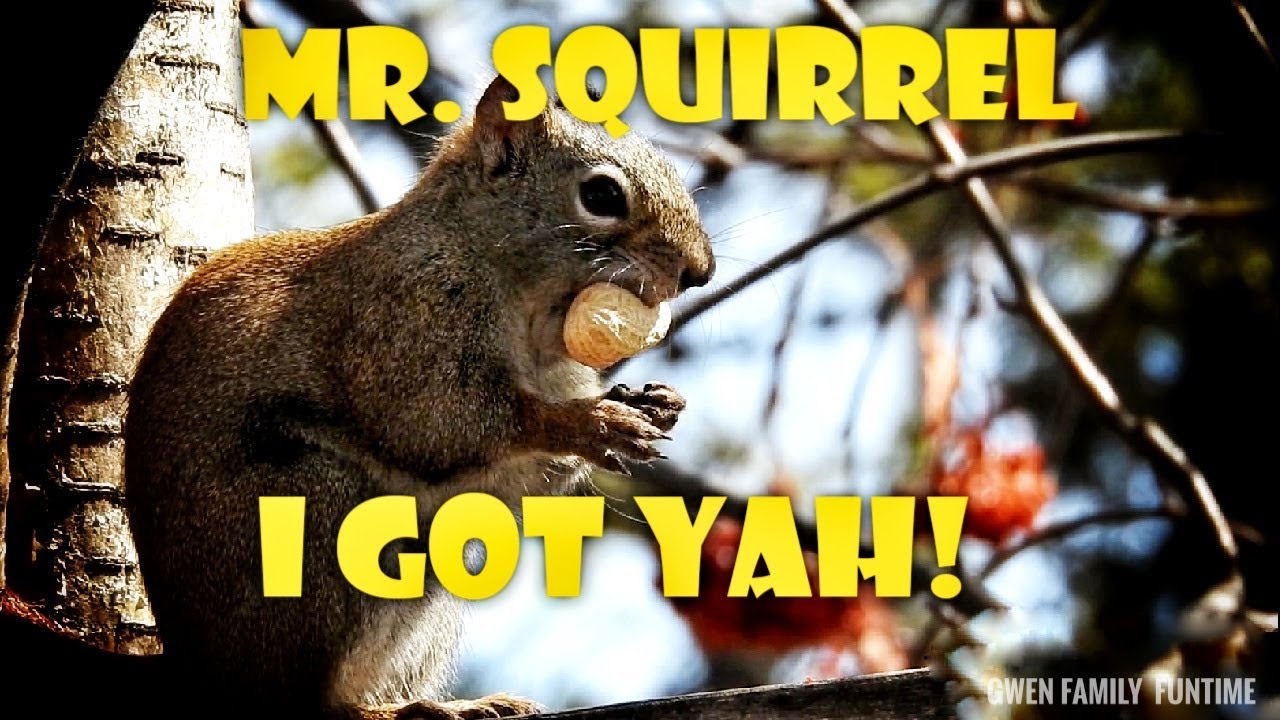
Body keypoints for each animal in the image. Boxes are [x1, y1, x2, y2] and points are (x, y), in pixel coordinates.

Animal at [122, 76, 714, 719]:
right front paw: (595, 422)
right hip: (310, 520)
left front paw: (657, 405)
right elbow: (437, 421)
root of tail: (201, 672)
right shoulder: (405, 313)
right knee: (309, 699)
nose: (700, 272)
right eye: (602, 194)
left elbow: (531, 479)